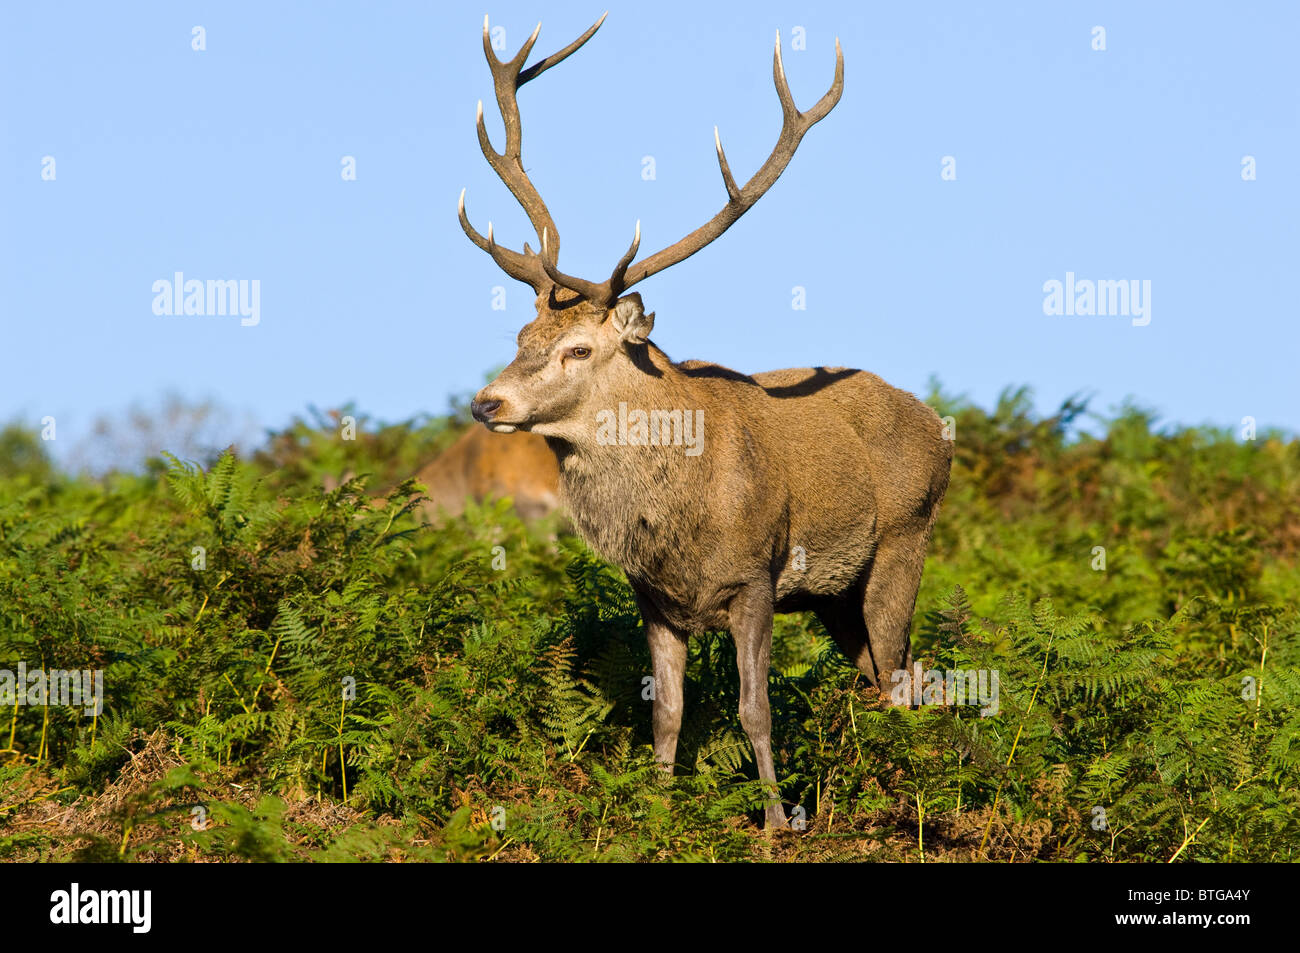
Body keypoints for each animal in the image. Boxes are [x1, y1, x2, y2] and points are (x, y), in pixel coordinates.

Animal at [458, 14, 952, 830]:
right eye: (521, 337)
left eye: (578, 348)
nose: (486, 403)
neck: (681, 518)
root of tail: (940, 425)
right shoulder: (653, 598)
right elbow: (667, 712)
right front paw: (657, 809)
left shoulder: (756, 577)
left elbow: (755, 709)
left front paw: (776, 821)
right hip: (835, 595)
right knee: (889, 676)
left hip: (903, 539)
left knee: (904, 677)